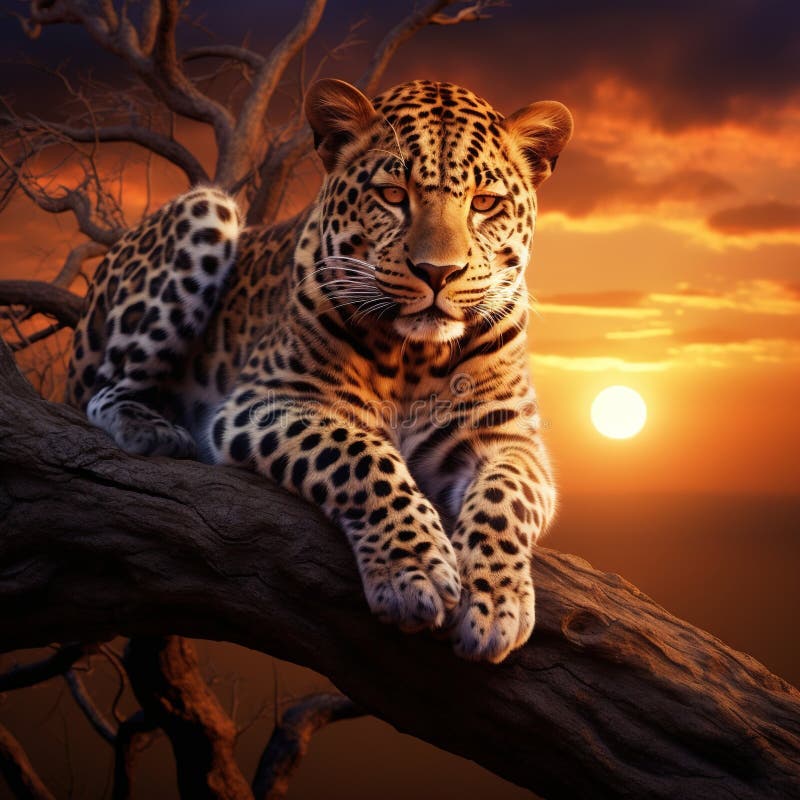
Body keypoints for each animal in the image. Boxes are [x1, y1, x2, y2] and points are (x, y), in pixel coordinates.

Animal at [65, 78, 573, 663]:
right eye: (393, 196)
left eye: (485, 204)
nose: (438, 273)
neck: (415, 356)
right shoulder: (268, 401)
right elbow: (361, 456)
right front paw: (413, 573)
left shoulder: (511, 439)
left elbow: (504, 500)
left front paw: (496, 605)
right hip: (202, 211)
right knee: (102, 391)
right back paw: (150, 429)